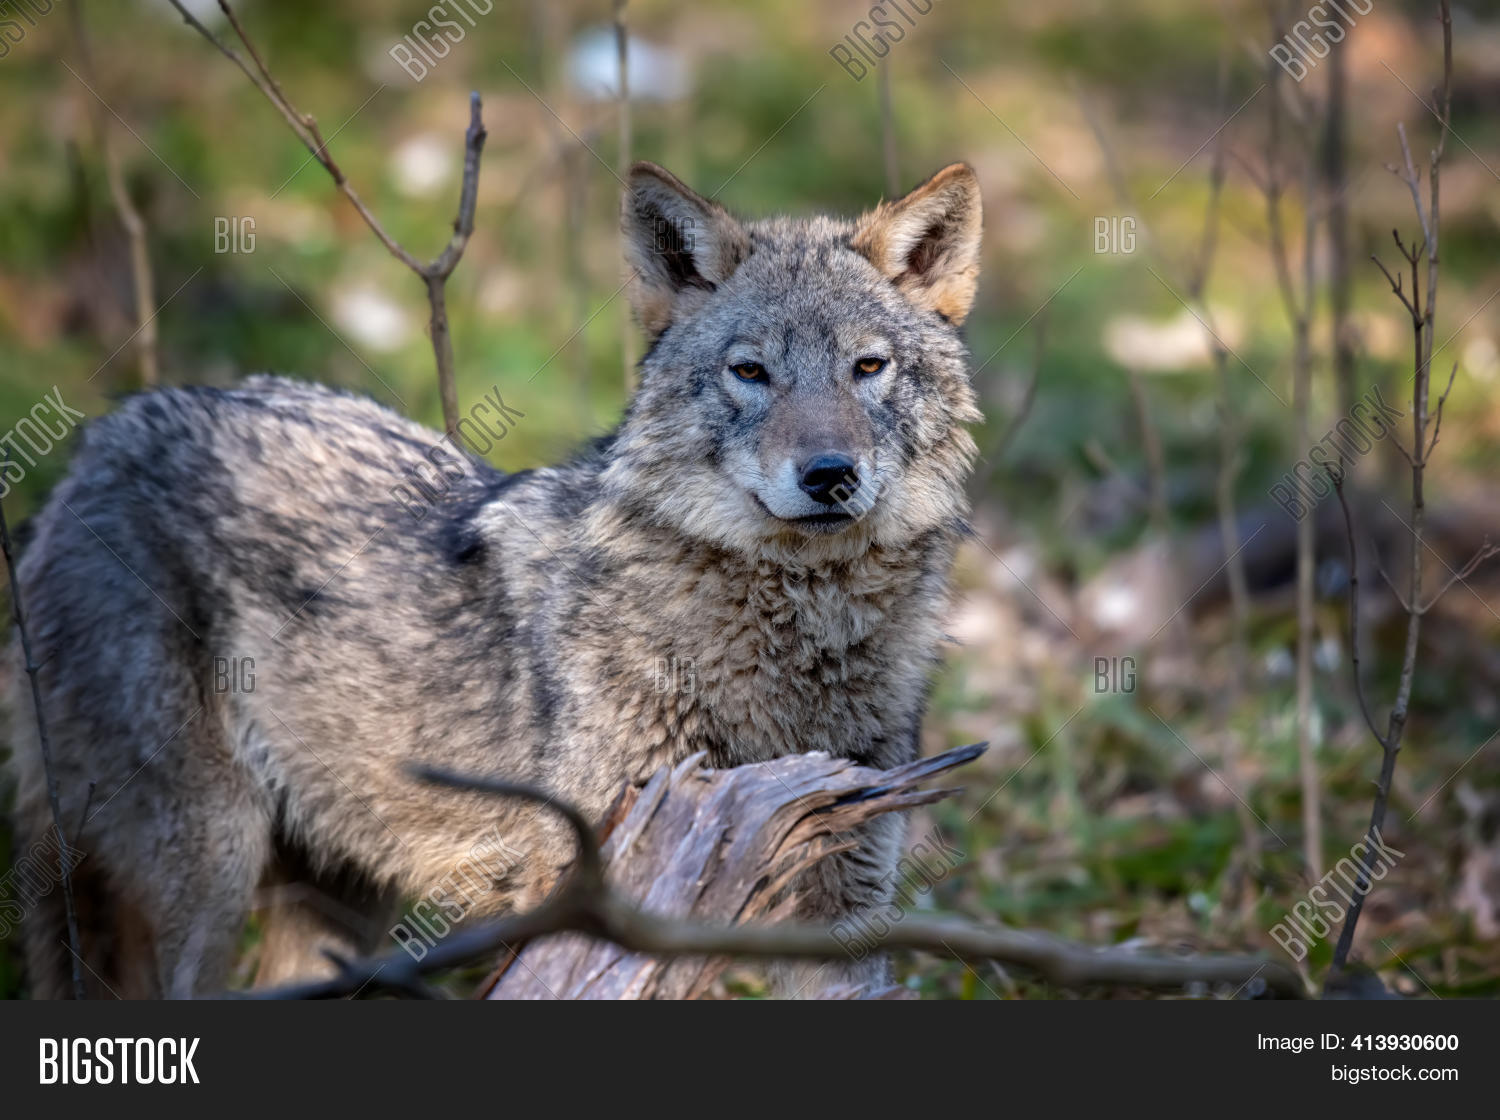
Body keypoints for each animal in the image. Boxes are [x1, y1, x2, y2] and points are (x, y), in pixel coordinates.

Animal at [6, 160, 983, 998]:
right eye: (751, 372)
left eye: (868, 367)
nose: (829, 475)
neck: (794, 642)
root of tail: (92, 451)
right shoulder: (596, 891)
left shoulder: (840, 908)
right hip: (211, 869)